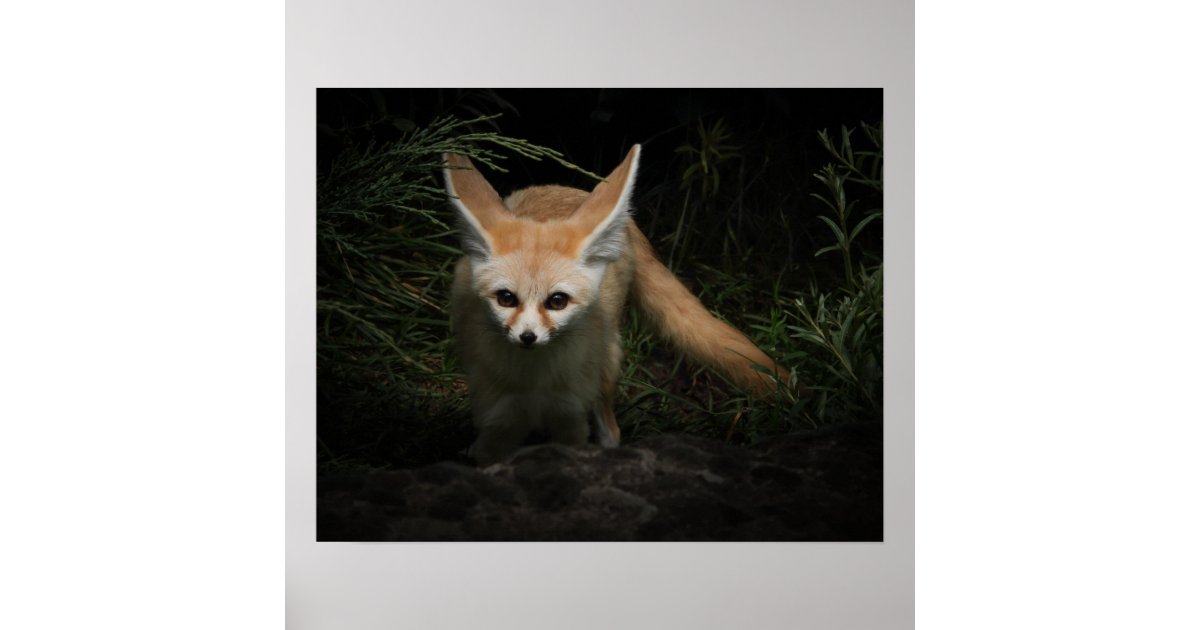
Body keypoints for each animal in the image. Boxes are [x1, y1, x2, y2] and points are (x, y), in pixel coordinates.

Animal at [443, 145, 788, 465]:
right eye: (506, 298)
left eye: (557, 301)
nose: (528, 337)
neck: (535, 382)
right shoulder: (498, 420)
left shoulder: (570, 419)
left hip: (607, 366)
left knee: (611, 429)